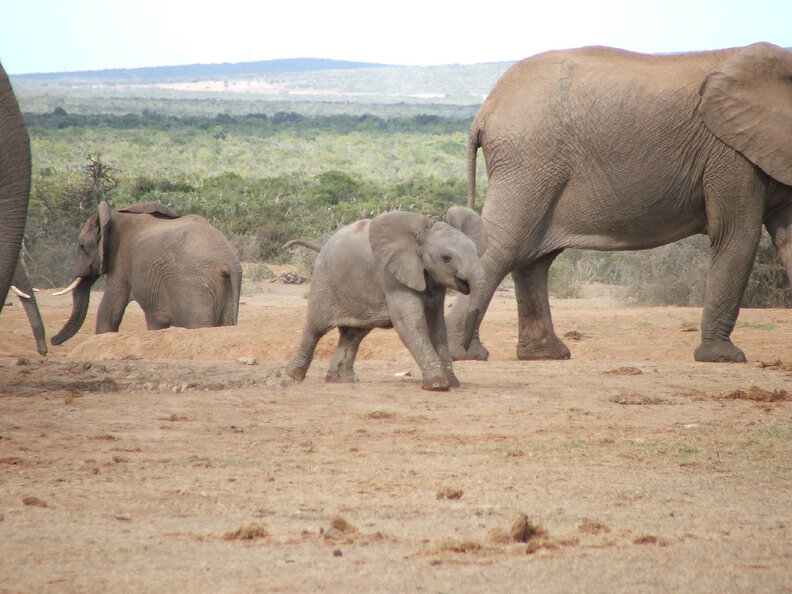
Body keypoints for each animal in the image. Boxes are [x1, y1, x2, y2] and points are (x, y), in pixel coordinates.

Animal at [51, 201, 243, 345]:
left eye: (82, 246)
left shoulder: (120, 260)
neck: (114, 215)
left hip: (193, 286)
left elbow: (110, 309)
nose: (52, 340)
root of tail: (229, 260)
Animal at [285, 206, 487, 390]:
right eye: (446, 258)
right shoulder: (393, 276)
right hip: (325, 281)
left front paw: (452, 383)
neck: (418, 239)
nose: (467, 347)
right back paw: (294, 375)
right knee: (316, 326)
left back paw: (342, 380)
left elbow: (437, 326)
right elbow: (410, 323)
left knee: (354, 334)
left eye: (476, 252)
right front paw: (437, 385)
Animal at [446, 42, 792, 364]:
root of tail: (484, 112)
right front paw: (724, 357)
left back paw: (545, 354)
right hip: (528, 158)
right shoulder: (730, 154)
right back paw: (463, 353)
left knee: (533, 257)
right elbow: (736, 236)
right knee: (505, 246)